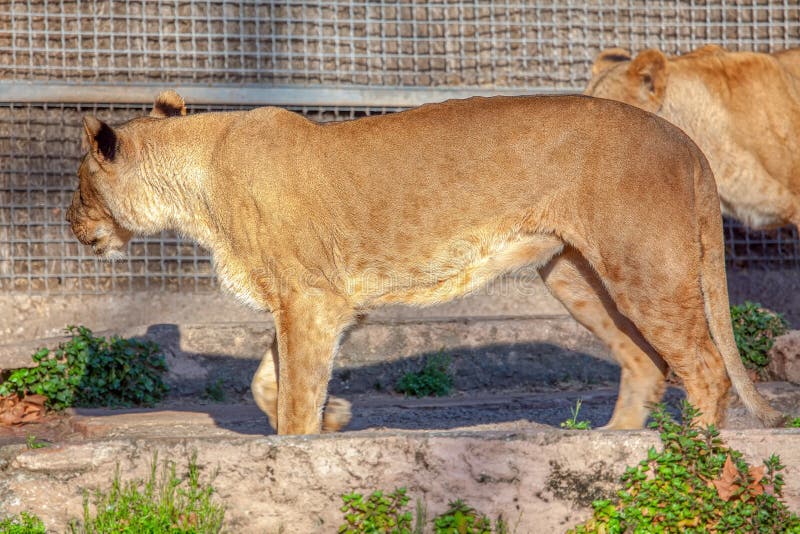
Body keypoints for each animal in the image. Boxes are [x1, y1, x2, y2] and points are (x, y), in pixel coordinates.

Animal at [66, 90, 784, 434]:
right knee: (645, 363)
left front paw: (302, 444)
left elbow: (291, 397)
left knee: (704, 367)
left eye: (78, 186)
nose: (67, 225)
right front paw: (336, 417)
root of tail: (684, 140)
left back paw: (686, 452)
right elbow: (269, 383)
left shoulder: (312, 301)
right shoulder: (314, 303)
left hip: (643, 268)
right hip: (575, 274)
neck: (198, 179)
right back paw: (614, 443)